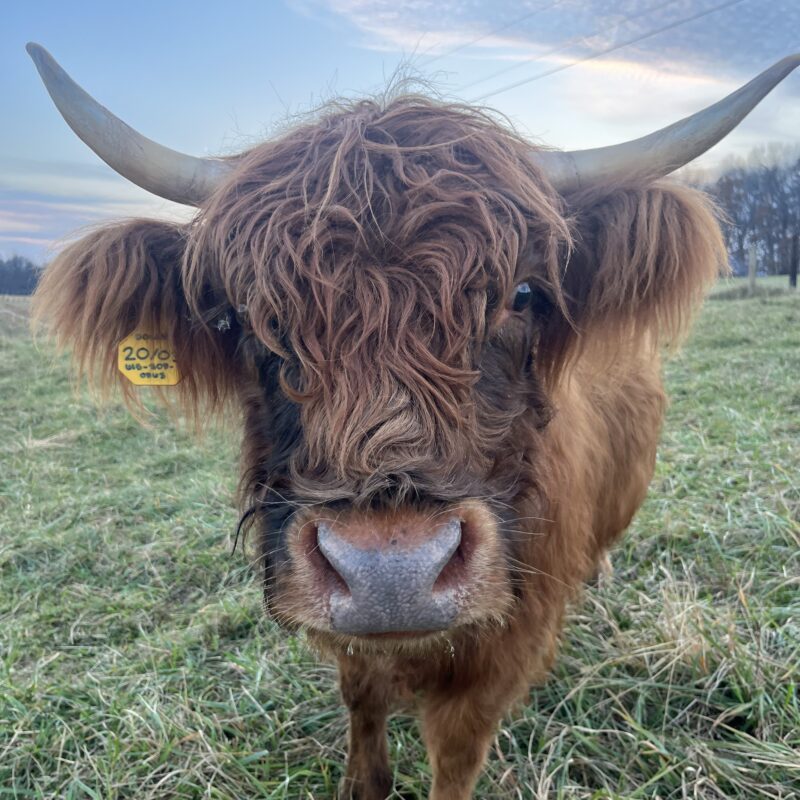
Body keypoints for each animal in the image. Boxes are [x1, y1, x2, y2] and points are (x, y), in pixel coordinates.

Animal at [27, 43, 799, 800]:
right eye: (247, 315)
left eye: (524, 294)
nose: (388, 574)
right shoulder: (352, 642)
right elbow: (362, 707)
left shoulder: (502, 654)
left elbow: (455, 757)